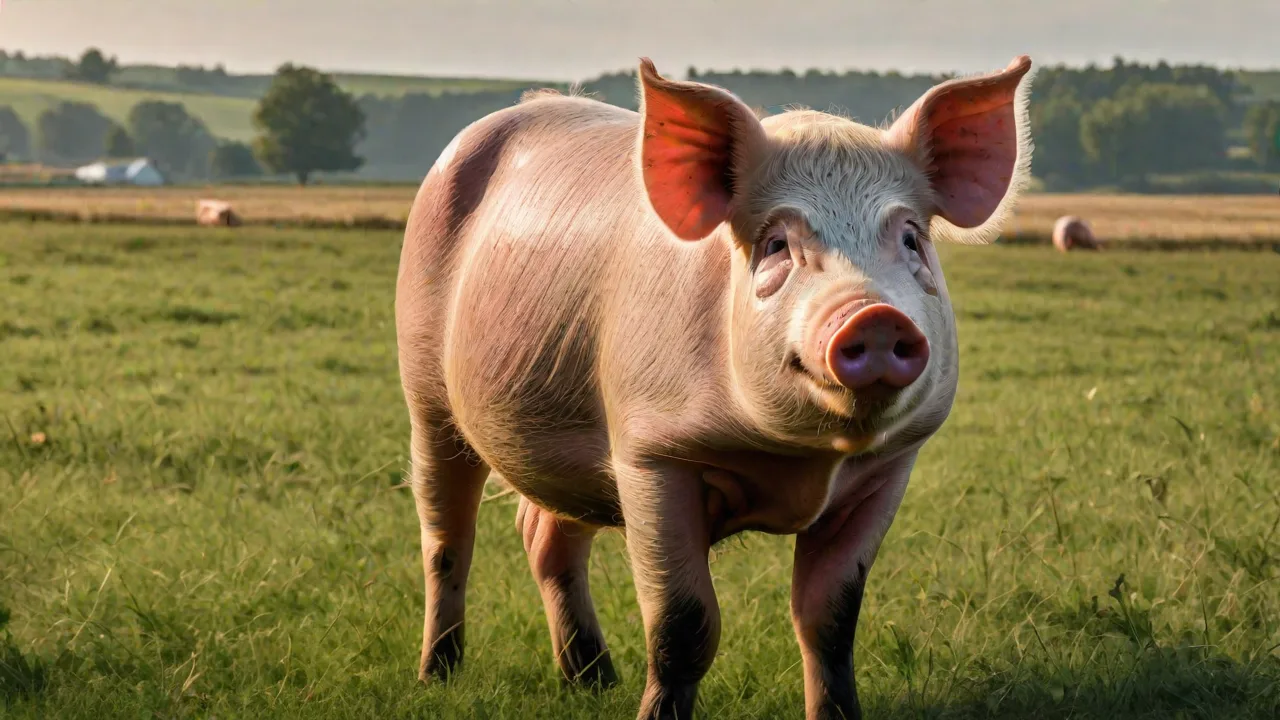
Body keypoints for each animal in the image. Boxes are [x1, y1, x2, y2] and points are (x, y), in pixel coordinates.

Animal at [395, 54, 1035, 720]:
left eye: (911, 238)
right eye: (777, 243)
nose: (875, 316)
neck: (801, 460)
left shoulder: (890, 466)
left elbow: (829, 620)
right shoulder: (650, 452)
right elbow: (683, 624)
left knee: (545, 538)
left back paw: (593, 681)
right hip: (425, 390)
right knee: (445, 534)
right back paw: (437, 675)